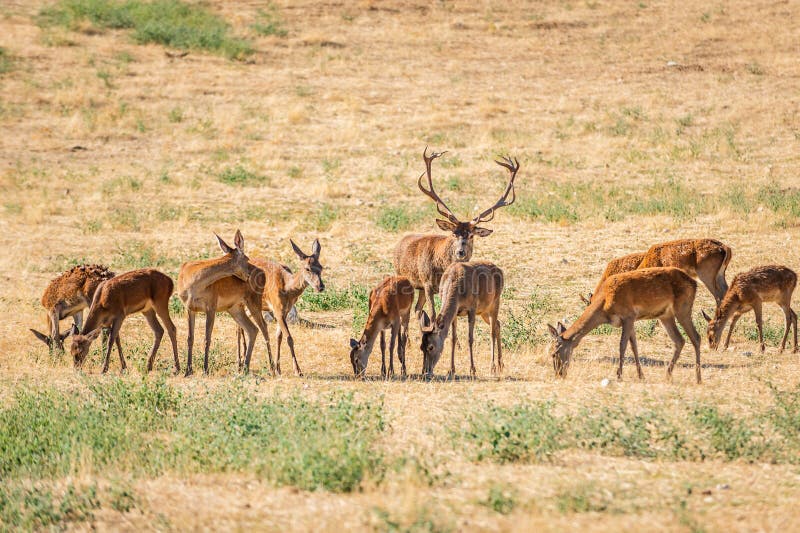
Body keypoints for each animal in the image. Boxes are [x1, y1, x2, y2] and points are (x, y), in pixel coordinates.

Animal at [178, 230, 273, 376]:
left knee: (264, 327)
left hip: (254, 301)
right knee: (253, 329)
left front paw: (205, 369)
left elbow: (207, 338)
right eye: (247, 258)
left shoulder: (211, 306)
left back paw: (274, 369)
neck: (192, 281)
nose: (251, 273)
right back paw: (245, 368)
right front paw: (188, 371)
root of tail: (264, 274)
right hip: (235, 308)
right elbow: (190, 338)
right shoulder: (189, 308)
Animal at [236, 239, 324, 377]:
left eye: (321, 267)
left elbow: (279, 336)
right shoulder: (277, 309)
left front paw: (278, 368)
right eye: (307, 268)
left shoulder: (285, 310)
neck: (288, 288)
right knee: (239, 328)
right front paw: (297, 370)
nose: (320, 286)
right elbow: (289, 338)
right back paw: (239, 363)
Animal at [394, 147, 518, 321]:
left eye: (472, 235)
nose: (461, 252)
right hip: (404, 276)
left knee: (418, 310)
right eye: (453, 233)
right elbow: (433, 314)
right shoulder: (427, 282)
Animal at [549, 267, 703, 384]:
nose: (559, 374)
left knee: (696, 337)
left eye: (553, 353)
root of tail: (695, 284)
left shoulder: (628, 315)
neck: (604, 305)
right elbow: (634, 346)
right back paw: (668, 375)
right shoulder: (632, 320)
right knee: (679, 340)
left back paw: (698, 378)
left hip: (683, 308)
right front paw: (641, 376)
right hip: (665, 315)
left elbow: (622, 345)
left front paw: (619, 375)